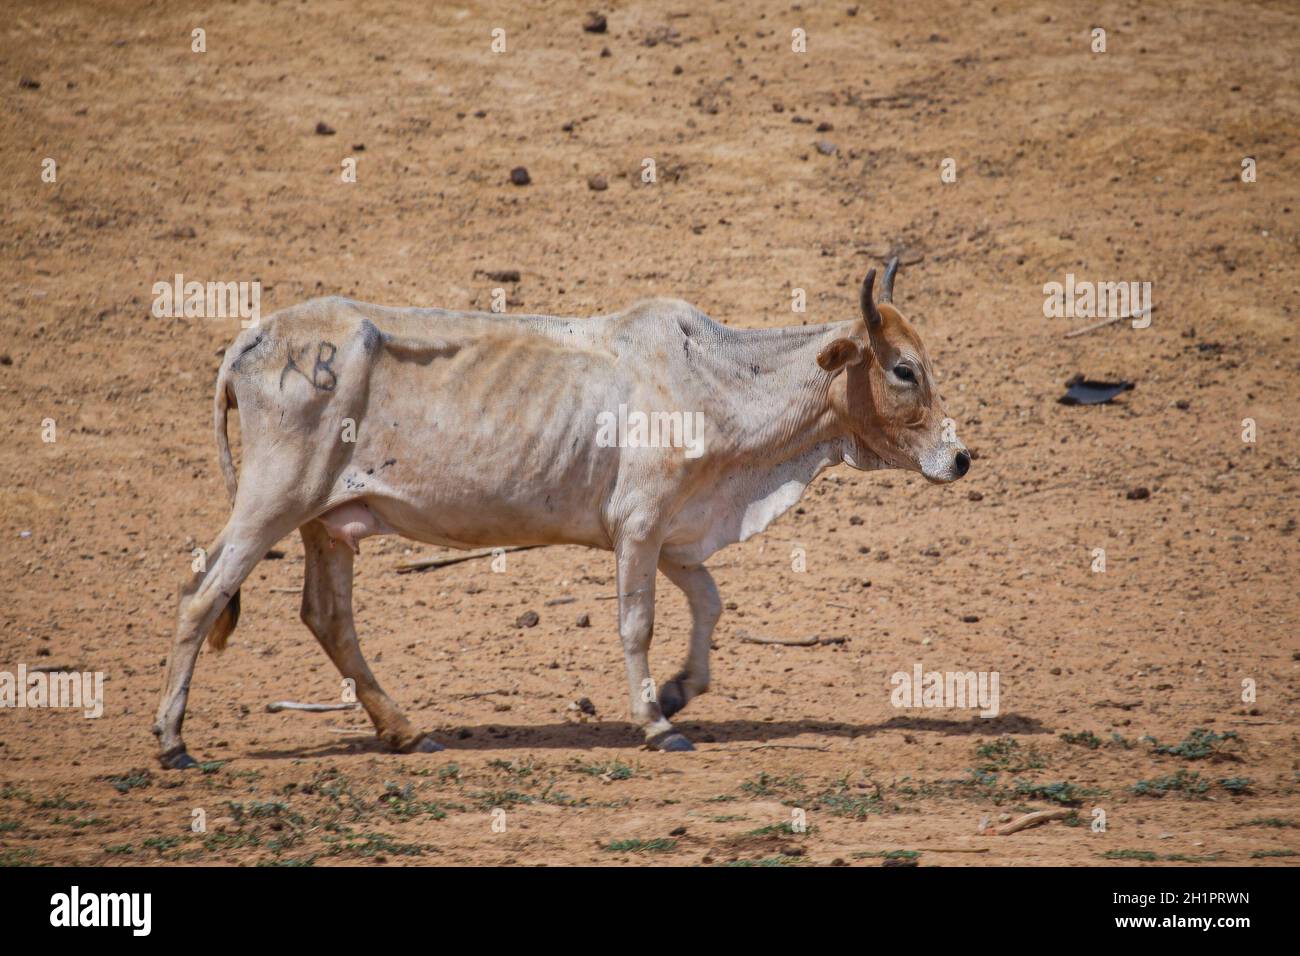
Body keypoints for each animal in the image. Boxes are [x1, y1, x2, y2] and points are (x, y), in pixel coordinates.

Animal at [153, 258, 970, 768]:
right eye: (904, 370)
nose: (960, 457)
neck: (717, 379)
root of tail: (255, 337)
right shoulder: (639, 524)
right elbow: (638, 624)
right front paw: (655, 723)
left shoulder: (675, 534)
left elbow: (709, 603)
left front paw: (679, 690)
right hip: (272, 500)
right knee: (199, 595)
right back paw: (172, 741)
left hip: (328, 523)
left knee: (327, 617)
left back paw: (406, 731)